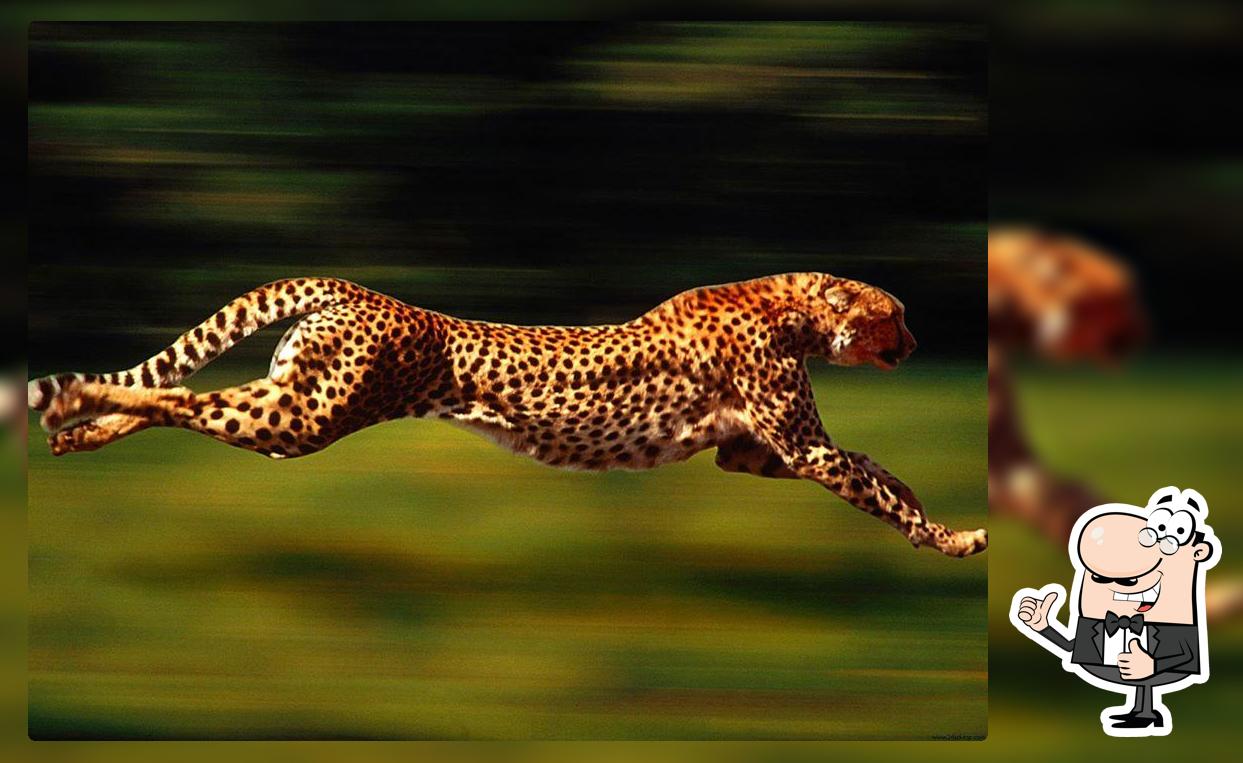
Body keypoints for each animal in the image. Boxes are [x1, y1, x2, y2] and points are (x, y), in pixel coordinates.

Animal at [28, 272, 987, 557]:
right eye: (896, 313)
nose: (915, 338)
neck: (792, 306)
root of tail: (352, 287)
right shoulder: (798, 449)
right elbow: (871, 482)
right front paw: (950, 537)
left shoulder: (750, 453)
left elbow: (876, 468)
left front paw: (938, 519)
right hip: (305, 417)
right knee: (183, 396)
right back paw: (74, 401)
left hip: (288, 406)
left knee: (186, 400)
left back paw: (79, 428)